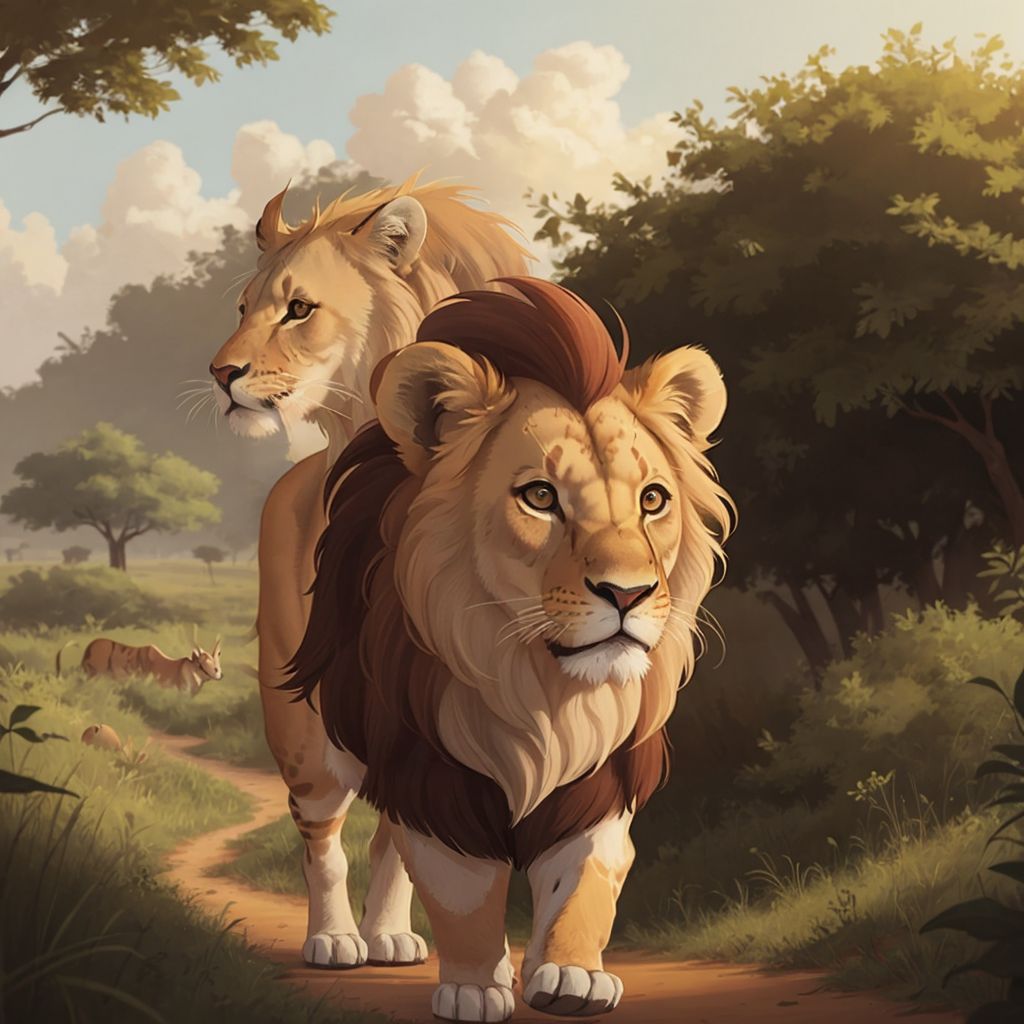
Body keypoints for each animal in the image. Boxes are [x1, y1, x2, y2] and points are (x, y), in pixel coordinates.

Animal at [207, 179, 531, 969]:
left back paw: (390, 935)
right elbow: (336, 838)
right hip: (295, 709)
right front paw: (339, 937)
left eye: (298, 308)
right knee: (322, 825)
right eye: (242, 308)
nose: (220, 374)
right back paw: (341, 937)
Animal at [287, 278, 733, 1021]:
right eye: (540, 497)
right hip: (313, 749)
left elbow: (585, 884)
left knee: (386, 839)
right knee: (324, 841)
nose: (629, 593)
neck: (542, 687)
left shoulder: (601, 784)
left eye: (652, 500)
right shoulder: (434, 770)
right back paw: (336, 939)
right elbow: (463, 893)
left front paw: (573, 976)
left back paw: (389, 938)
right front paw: (472, 987)